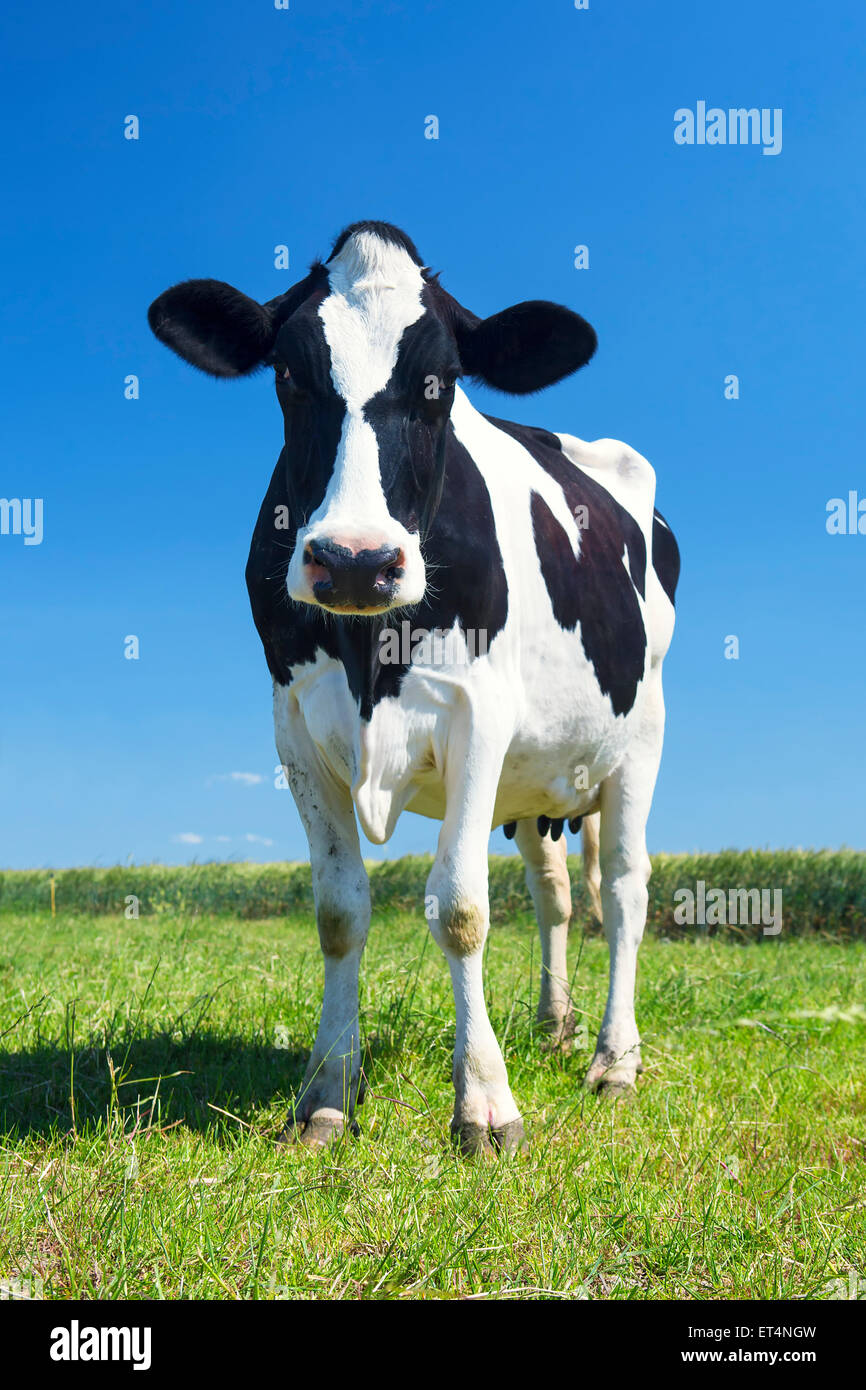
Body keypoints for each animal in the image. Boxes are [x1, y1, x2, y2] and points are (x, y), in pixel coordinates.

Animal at [148, 221, 680, 1155]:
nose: (357, 560)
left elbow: (460, 906)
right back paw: (555, 1025)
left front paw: (485, 1106)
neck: (370, 653)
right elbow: (339, 911)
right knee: (555, 894)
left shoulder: (478, 714)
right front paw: (327, 1093)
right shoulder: (293, 727)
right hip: (536, 782)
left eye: (443, 383)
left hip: (640, 741)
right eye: (289, 375)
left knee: (623, 888)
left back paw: (614, 1060)